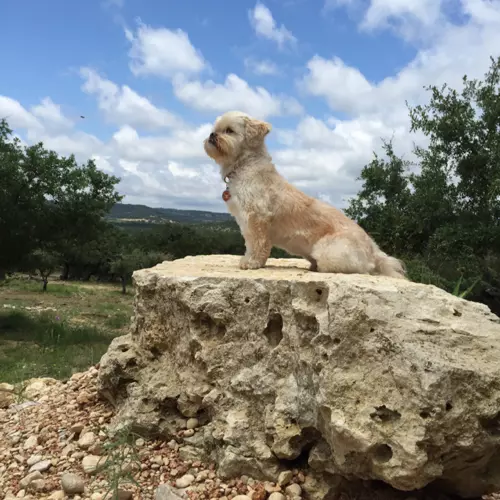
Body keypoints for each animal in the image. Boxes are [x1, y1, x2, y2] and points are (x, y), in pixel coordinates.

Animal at [203, 109, 406, 278]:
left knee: (363, 269)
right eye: (215, 129)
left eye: (229, 130)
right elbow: (250, 243)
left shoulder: (257, 218)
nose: (212, 135)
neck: (245, 164)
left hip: (328, 251)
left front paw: (252, 262)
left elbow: (257, 243)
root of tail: (373, 249)